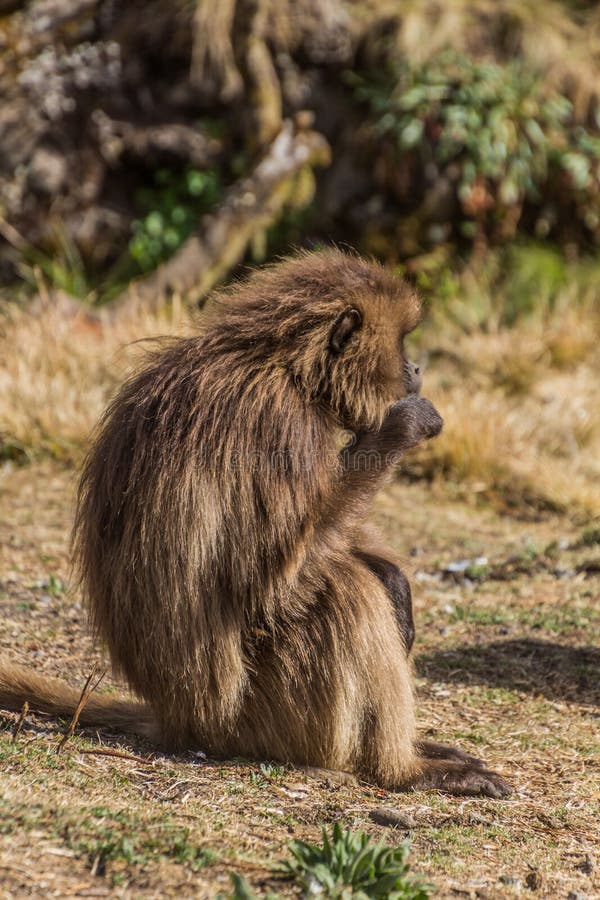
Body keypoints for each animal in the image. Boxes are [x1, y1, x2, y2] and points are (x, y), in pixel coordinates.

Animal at [0, 249, 510, 798]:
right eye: (401, 344)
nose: (416, 367)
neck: (285, 367)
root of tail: (180, 718)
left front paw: (396, 579)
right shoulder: (279, 426)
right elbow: (269, 584)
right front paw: (403, 426)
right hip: (258, 716)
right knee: (343, 594)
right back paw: (403, 769)